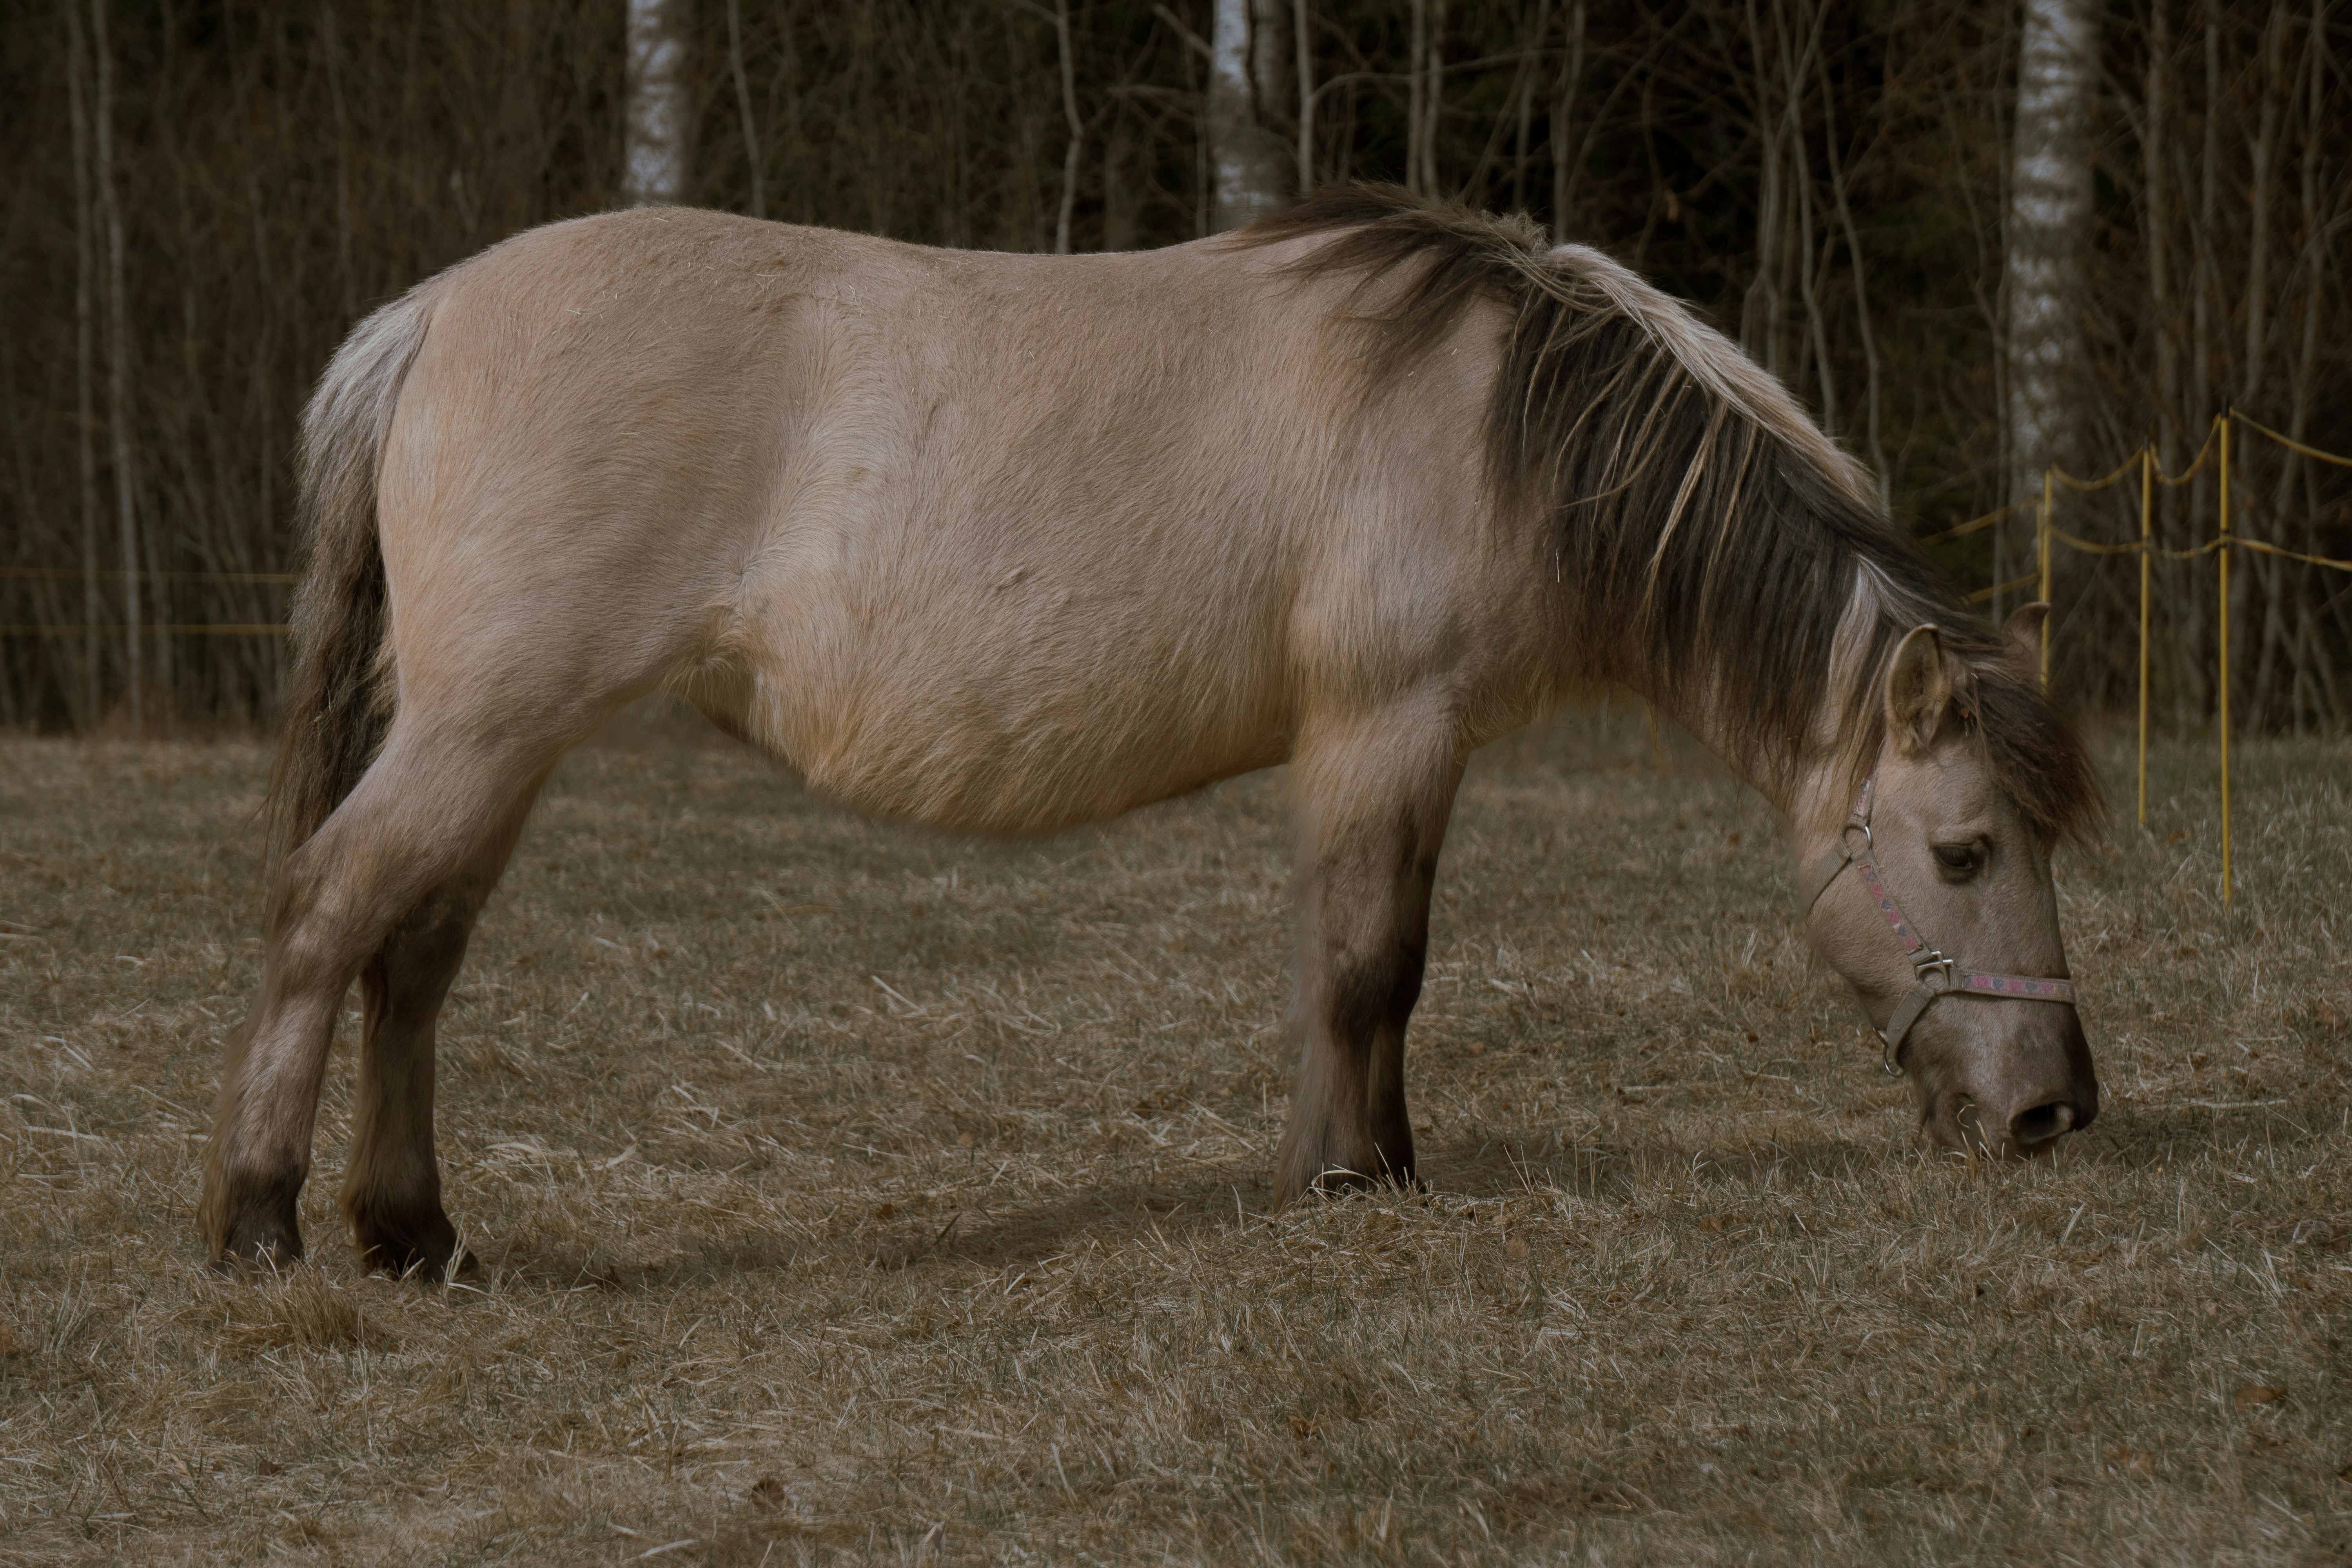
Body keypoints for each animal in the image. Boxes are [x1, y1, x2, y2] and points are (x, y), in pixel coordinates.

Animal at [198, 186, 2100, 1277]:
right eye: (1961, 849)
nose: (2051, 1113)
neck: (1497, 417)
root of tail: (430, 312)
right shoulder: (1384, 729)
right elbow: (1369, 965)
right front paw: (1354, 1181)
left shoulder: (1393, 750)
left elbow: (1360, 968)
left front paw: (1364, 1161)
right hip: (479, 732)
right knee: (326, 914)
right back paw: (255, 1221)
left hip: (500, 748)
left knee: (413, 954)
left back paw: (414, 1232)